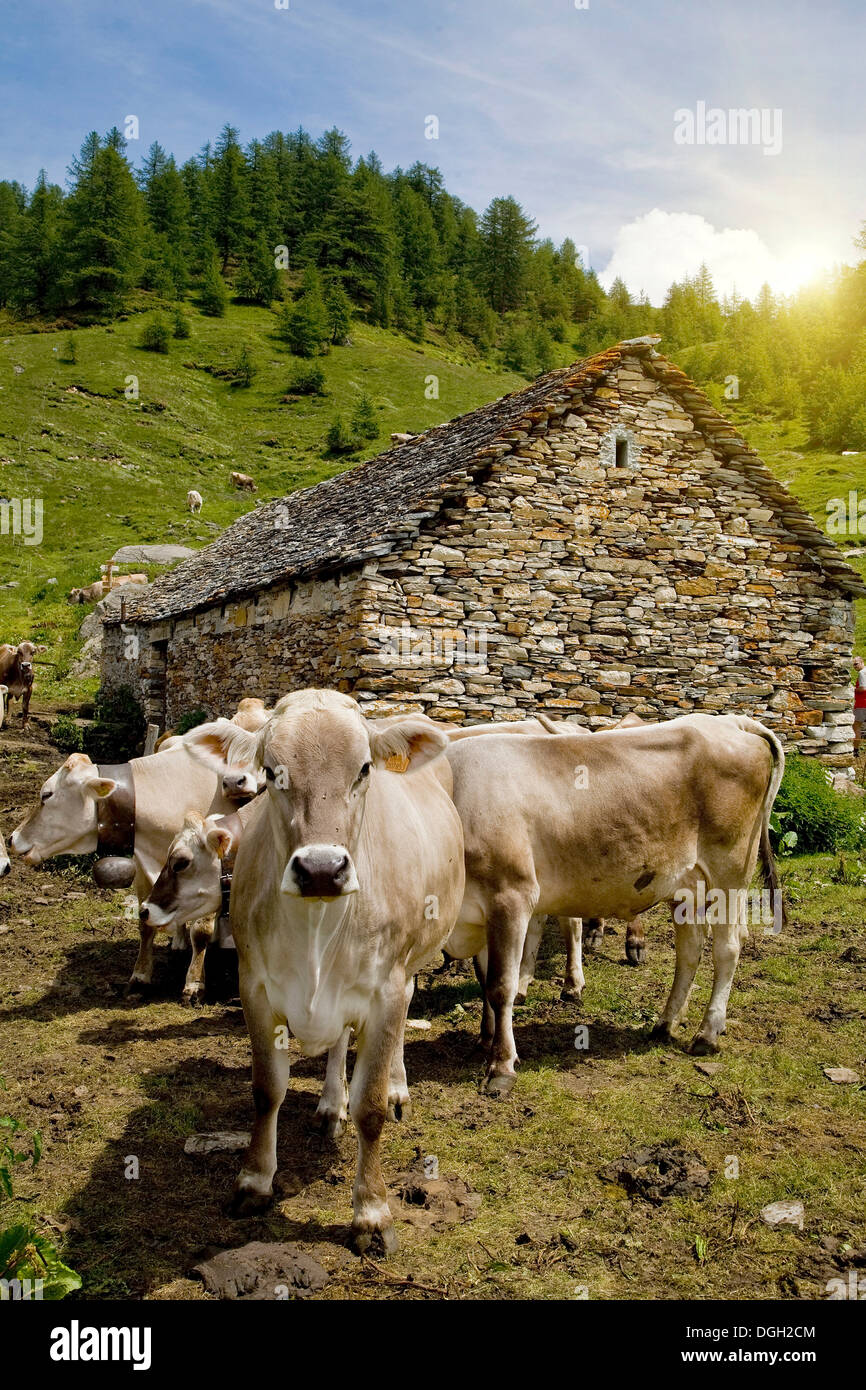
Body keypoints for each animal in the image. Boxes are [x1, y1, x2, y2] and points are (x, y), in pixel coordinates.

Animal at [181, 690, 465, 1253]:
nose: (320, 870)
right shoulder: (256, 988)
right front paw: (254, 1182)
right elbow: (267, 1089)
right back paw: (332, 1104)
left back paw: (397, 1084)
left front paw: (372, 1213)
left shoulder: (385, 990)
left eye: (364, 769)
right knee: (337, 1044)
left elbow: (370, 1108)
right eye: (271, 772)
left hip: (412, 963)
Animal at [442, 712, 785, 1095]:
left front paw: (501, 1065)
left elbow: (501, 986)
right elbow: (485, 980)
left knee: (728, 948)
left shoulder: (511, 898)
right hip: (687, 887)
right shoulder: (480, 913)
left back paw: (707, 1034)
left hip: (731, 873)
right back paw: (665, 1024)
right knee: (689, 951)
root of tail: (734, 721)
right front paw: (485, 1040)